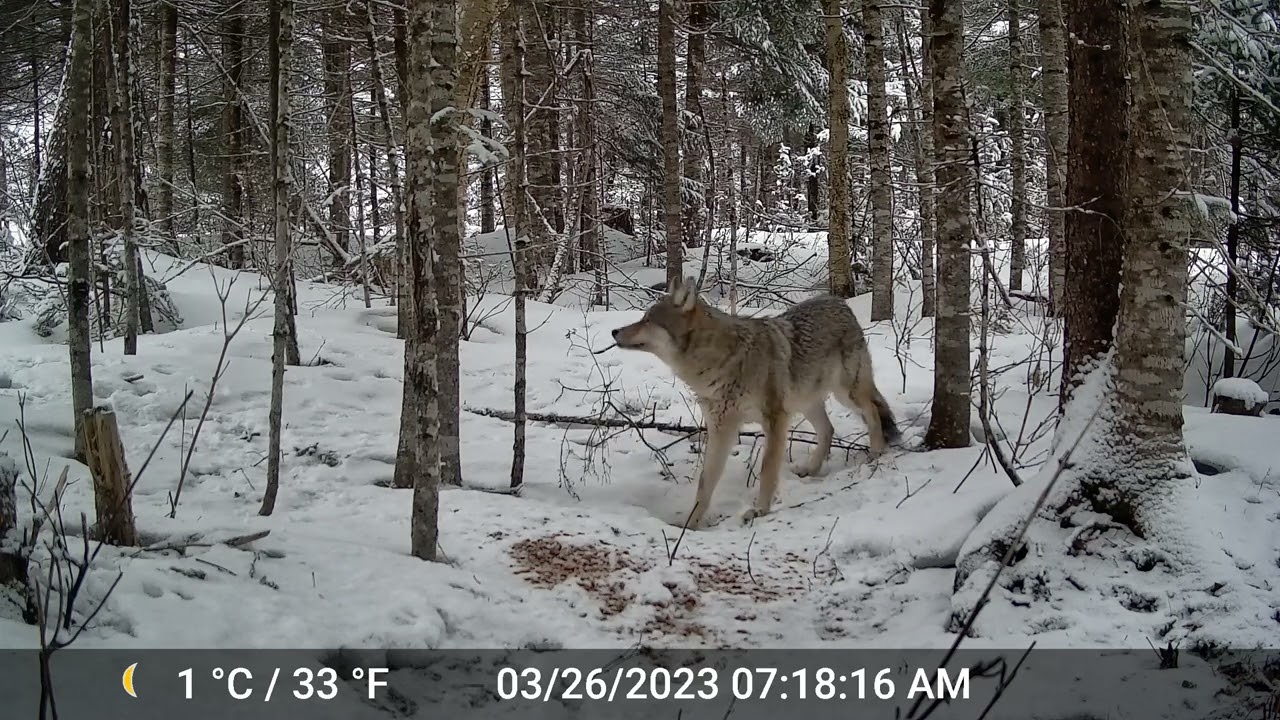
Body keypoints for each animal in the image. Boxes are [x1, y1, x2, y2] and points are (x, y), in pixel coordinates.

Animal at [611, 276, 900, 528]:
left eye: (647, 320)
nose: (614, 331)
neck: (718, 363)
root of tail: (839, 302)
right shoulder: (720, 429)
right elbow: (705, 483)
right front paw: (689, 525)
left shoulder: (774, 420)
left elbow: (767, 470)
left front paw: (760, 511)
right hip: (806, 404)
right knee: (829, 429)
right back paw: (811, 468)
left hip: (846, 393)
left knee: (872, 411)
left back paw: (875, 454)